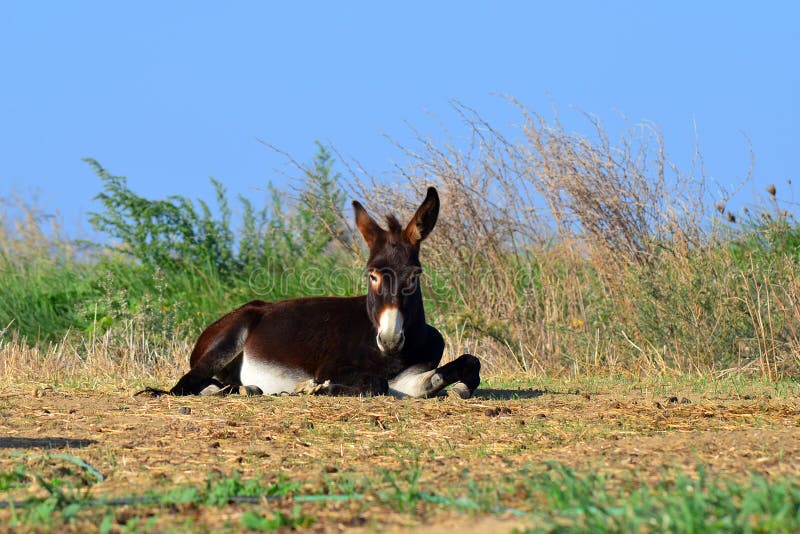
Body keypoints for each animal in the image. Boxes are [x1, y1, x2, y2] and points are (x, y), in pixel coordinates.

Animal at [168, 187, 480, 398]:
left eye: (415, 276)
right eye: (372, 275)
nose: (390, 339)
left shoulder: (411, 378)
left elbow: (467, 362)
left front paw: (461, 388)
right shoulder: (332, 366)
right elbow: (374, 382)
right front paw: (317, 388)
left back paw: (245, 389)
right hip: (230, 337)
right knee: (183, 385)